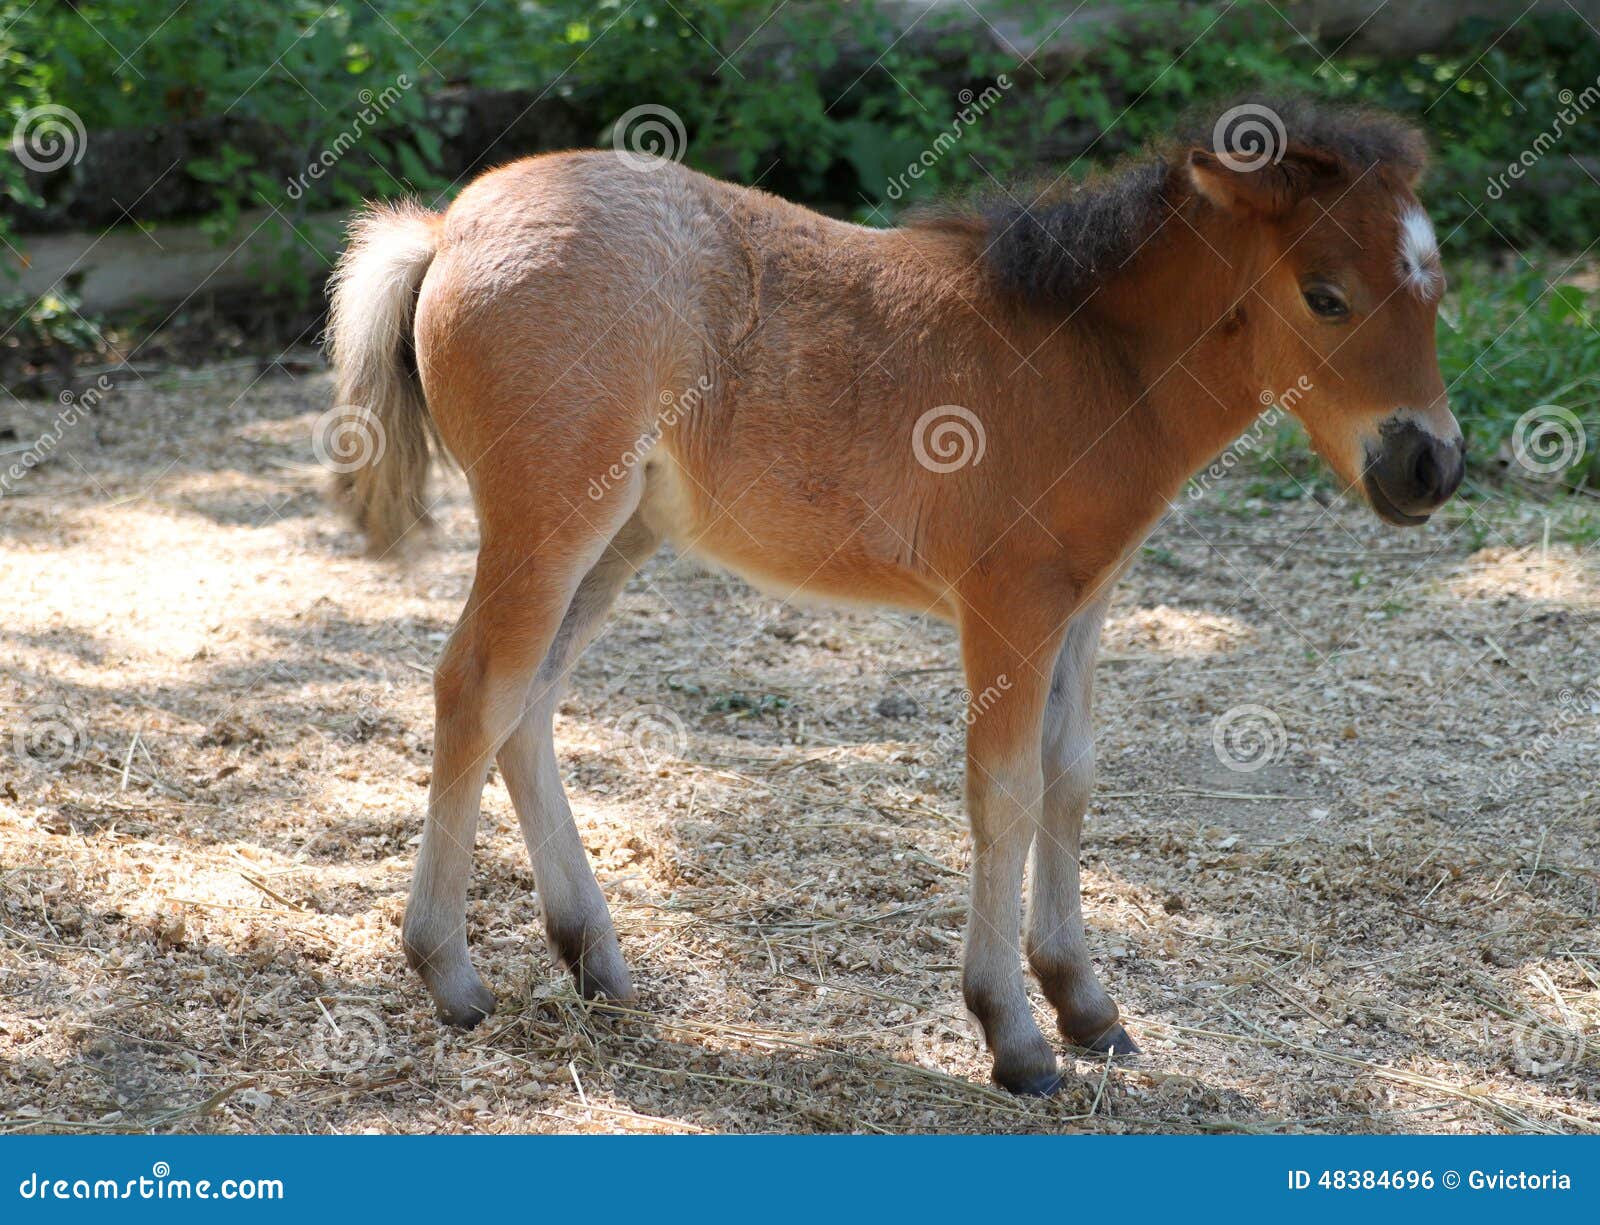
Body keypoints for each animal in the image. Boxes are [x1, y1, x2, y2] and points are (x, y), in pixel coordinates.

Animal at [325, 95, 1464, 1095]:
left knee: (529, 702)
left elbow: (1071, 775)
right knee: (476, 688)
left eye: (1436, 291)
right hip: (551, 517)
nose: (1430, 465)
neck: (1089, 364)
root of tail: (447, 228)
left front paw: (1085, 1004)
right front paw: (1014, 1035)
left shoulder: (1084, 603)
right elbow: (1004, 789)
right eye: (1324, 295)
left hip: (616, 534)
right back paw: (449, 973)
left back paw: (595, 961)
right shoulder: (1009, 602)